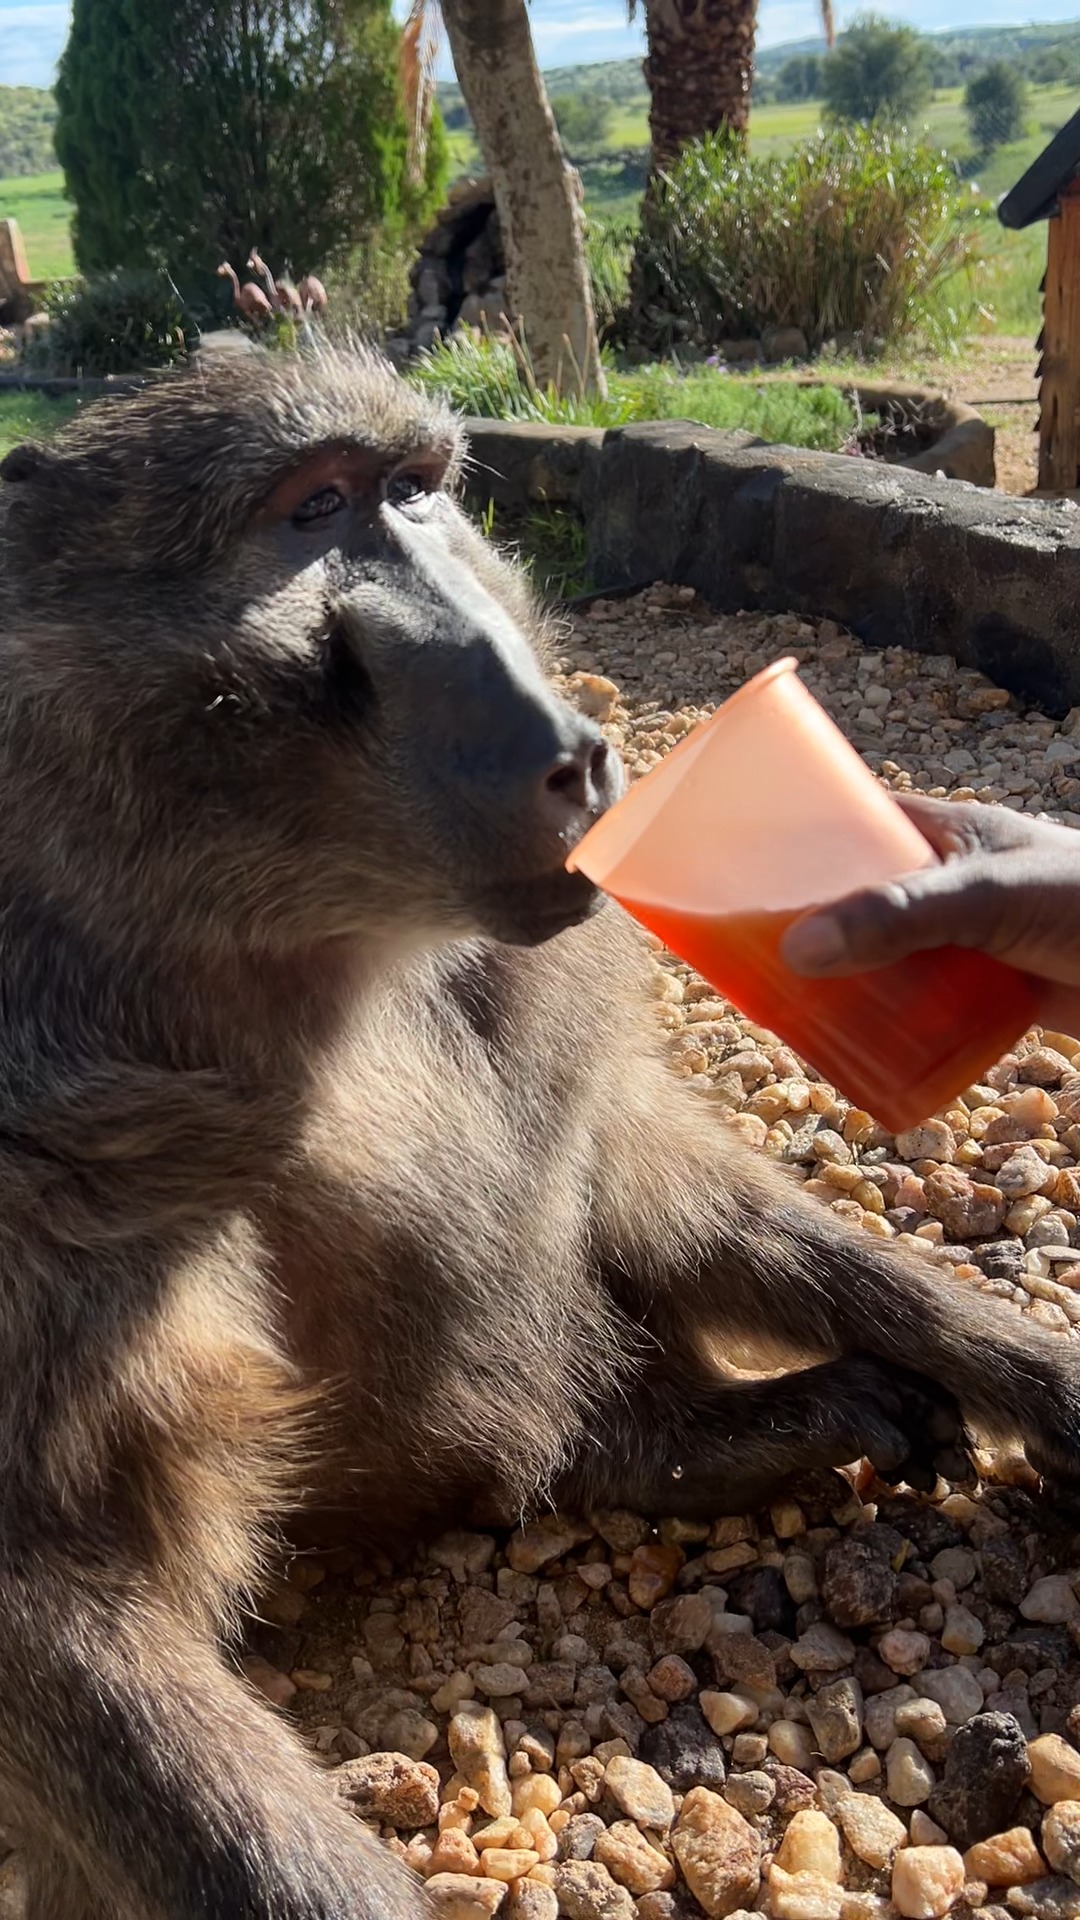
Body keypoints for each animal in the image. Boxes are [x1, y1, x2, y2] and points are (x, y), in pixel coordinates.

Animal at [0, 341, 1078, 1920]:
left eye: (416, 492)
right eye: (311, 510)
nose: (577, 750)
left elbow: (639, 1168)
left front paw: (1036, 1372)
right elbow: (49, 1581)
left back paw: (708, 1436)